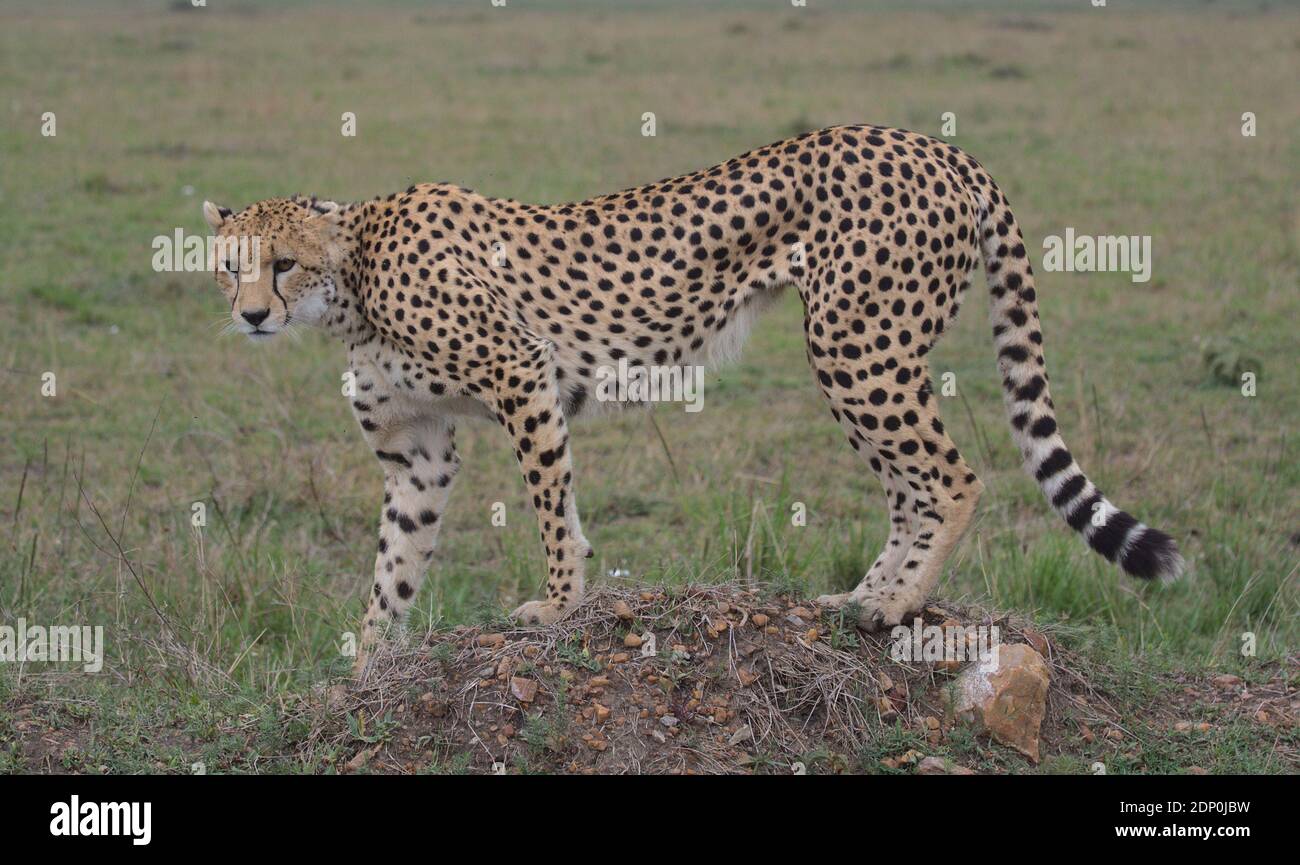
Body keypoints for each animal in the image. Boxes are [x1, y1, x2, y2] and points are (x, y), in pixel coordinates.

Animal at [202, 125, 1184, 677]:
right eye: (227, 266)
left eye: (281, 263)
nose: (250, 315)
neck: (353, 281)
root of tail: (937, 144)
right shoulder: (420, 450)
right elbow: (394, 565)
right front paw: (367, 664)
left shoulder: (522, 374)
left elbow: (552, 509)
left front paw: (555, 606)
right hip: (866, 352)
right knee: (911, 484)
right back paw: (861, 599)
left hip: (856, 344)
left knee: (950, 477)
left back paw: (894, 604)